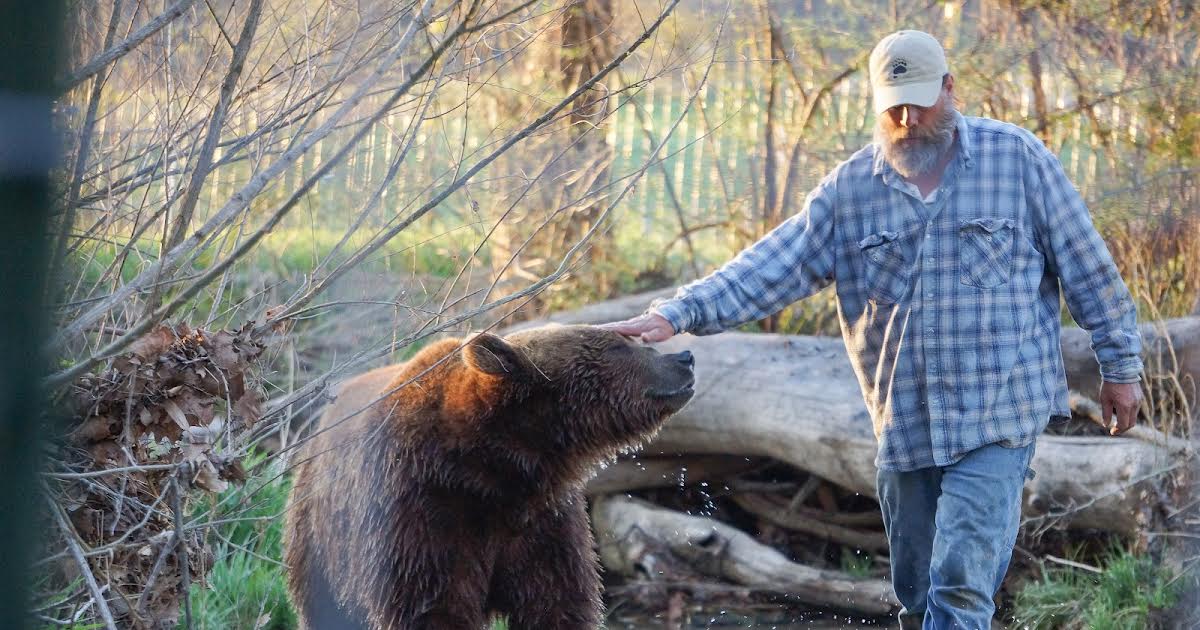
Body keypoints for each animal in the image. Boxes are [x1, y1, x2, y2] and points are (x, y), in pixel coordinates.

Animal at [283, 324, 695, 629]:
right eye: (618, 345)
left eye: (631, 340)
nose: (685, 357)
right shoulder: (421, 509)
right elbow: (433, 607)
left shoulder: (543, 520)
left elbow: (558, 600)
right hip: (324, 543)